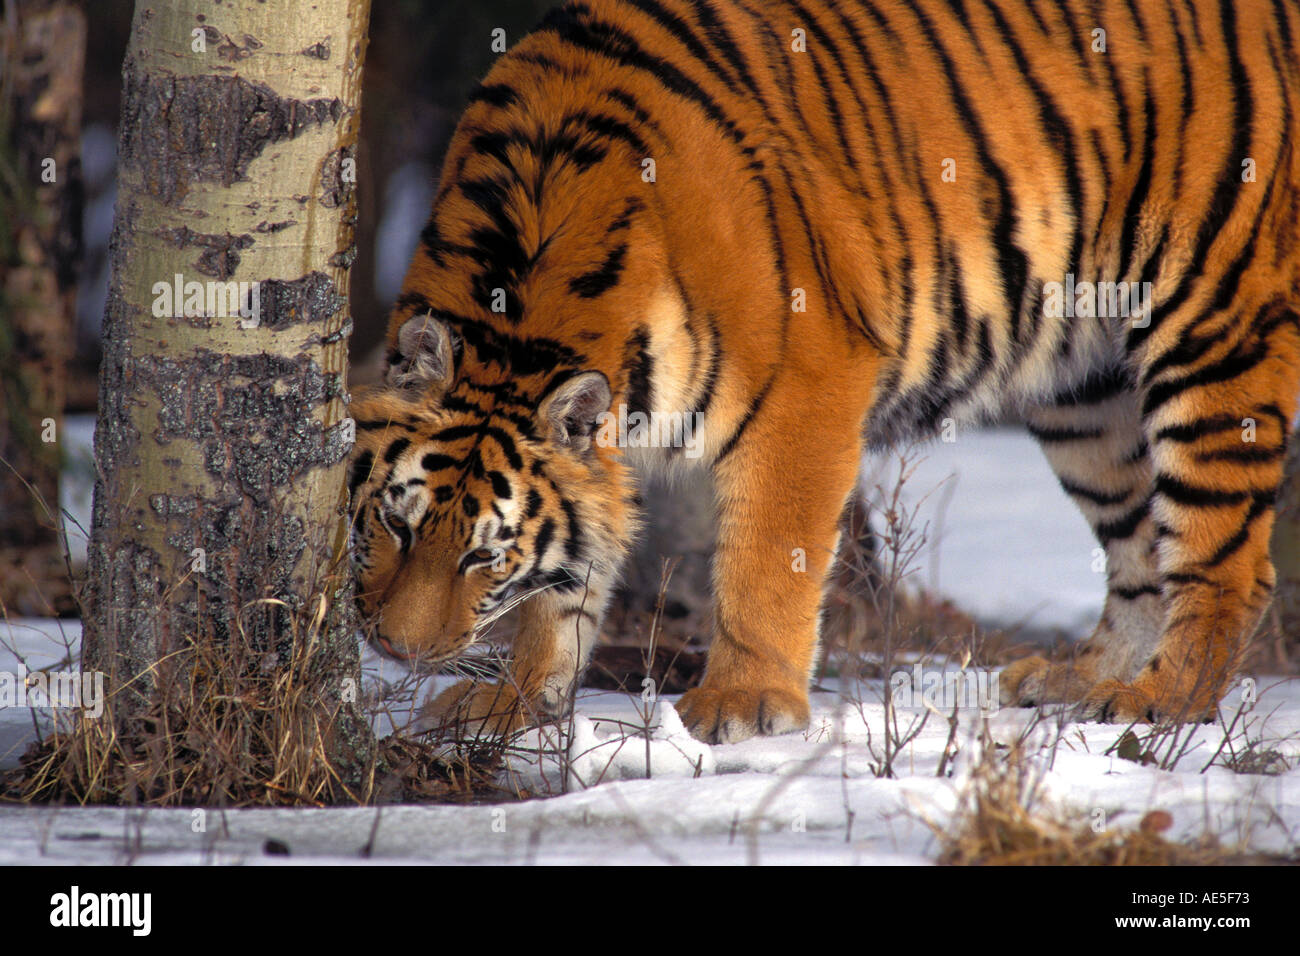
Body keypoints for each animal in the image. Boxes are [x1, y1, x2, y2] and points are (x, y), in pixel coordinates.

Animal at [347, 0, 1300, 744]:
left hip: (1215, 322)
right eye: (395, 526)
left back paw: (1157, 701)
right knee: (1139, 539)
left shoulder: (804, 388)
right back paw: (1085, 681)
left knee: (1229, 560)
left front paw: (743, 702)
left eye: (482, 556)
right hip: (1083, 390)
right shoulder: (594, 457)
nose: (399, 653)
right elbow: (571, 581)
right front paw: (513, 705)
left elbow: (768, 559)